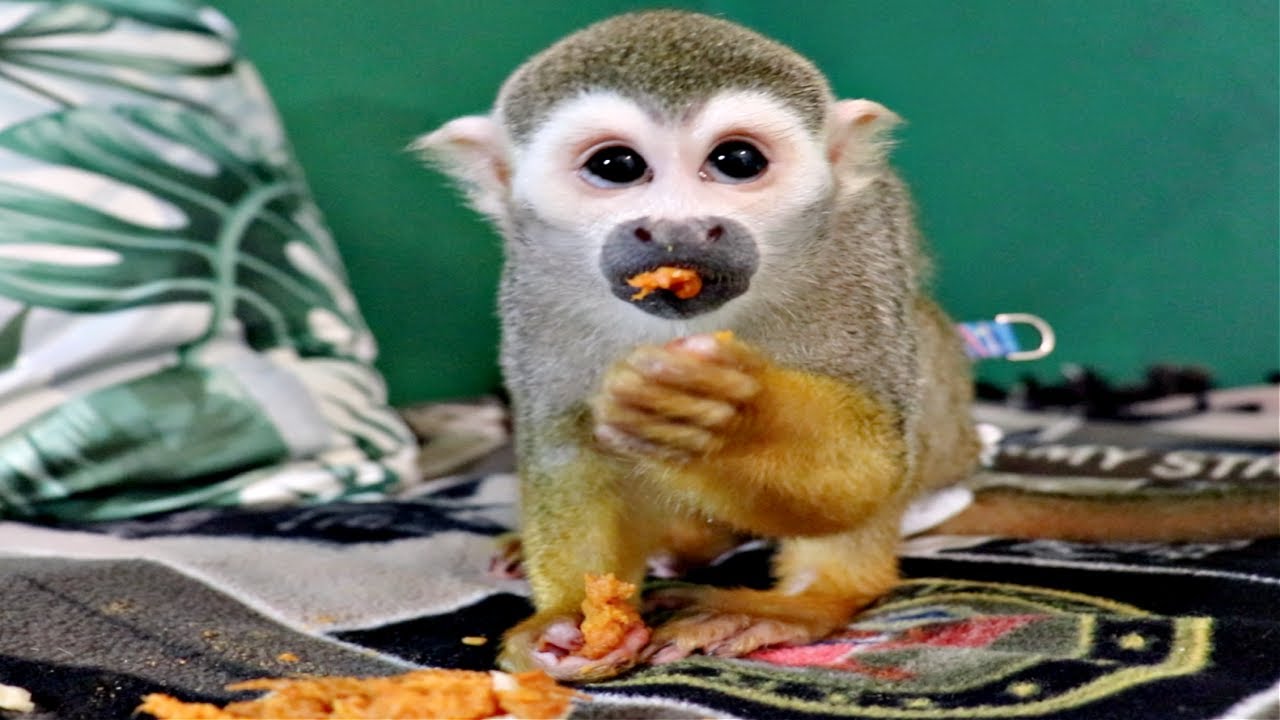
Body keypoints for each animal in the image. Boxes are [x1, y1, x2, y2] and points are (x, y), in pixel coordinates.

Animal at [415, 10, 980, 681]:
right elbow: (565, 449)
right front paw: (568, 619)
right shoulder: (532, 283)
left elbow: (874, 466)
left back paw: (810, 599)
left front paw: (727, 421)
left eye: (737, 160)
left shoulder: (856, 254)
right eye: (617, 166)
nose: (676, 229)